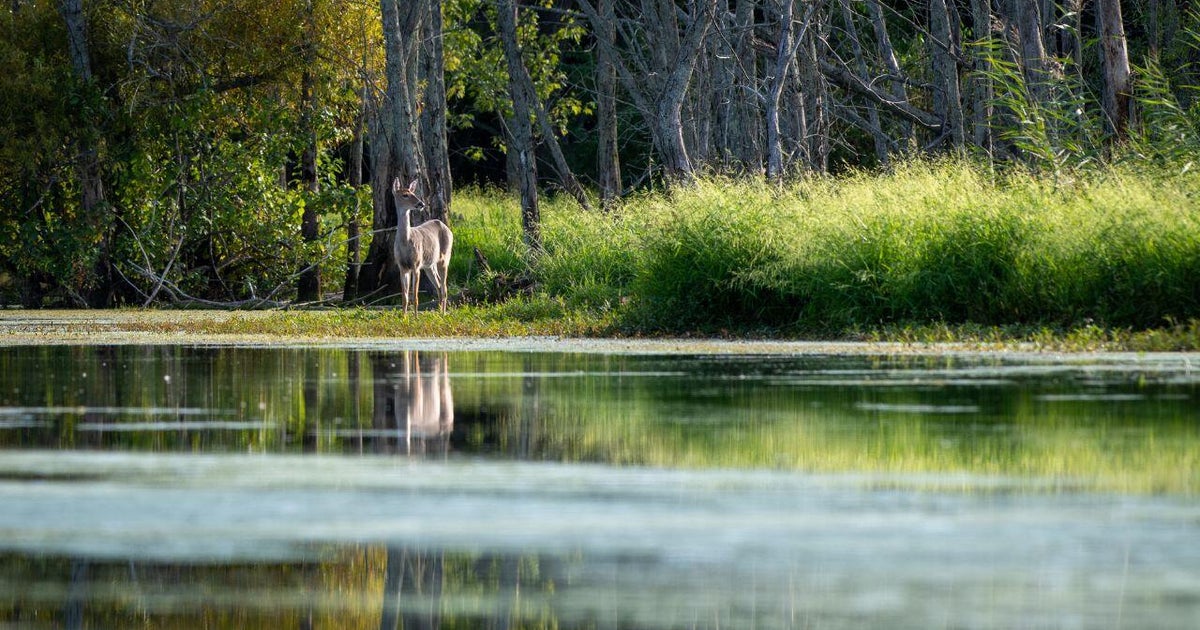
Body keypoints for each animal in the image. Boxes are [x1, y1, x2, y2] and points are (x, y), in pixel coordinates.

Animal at [390, 178, 454, 313]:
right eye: (405, 195)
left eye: (413, 193)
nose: (421, 203)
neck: (405, 242)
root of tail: (445, 226)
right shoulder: (402, 267)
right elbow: (405, 298)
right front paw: (404, 317)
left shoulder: (416, 265)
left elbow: (415, 297)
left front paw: (415, 316)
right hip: (429, 265)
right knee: (439, 285)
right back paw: (438, 313)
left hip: (444, 259)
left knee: (444, 288)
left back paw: (443, 314)